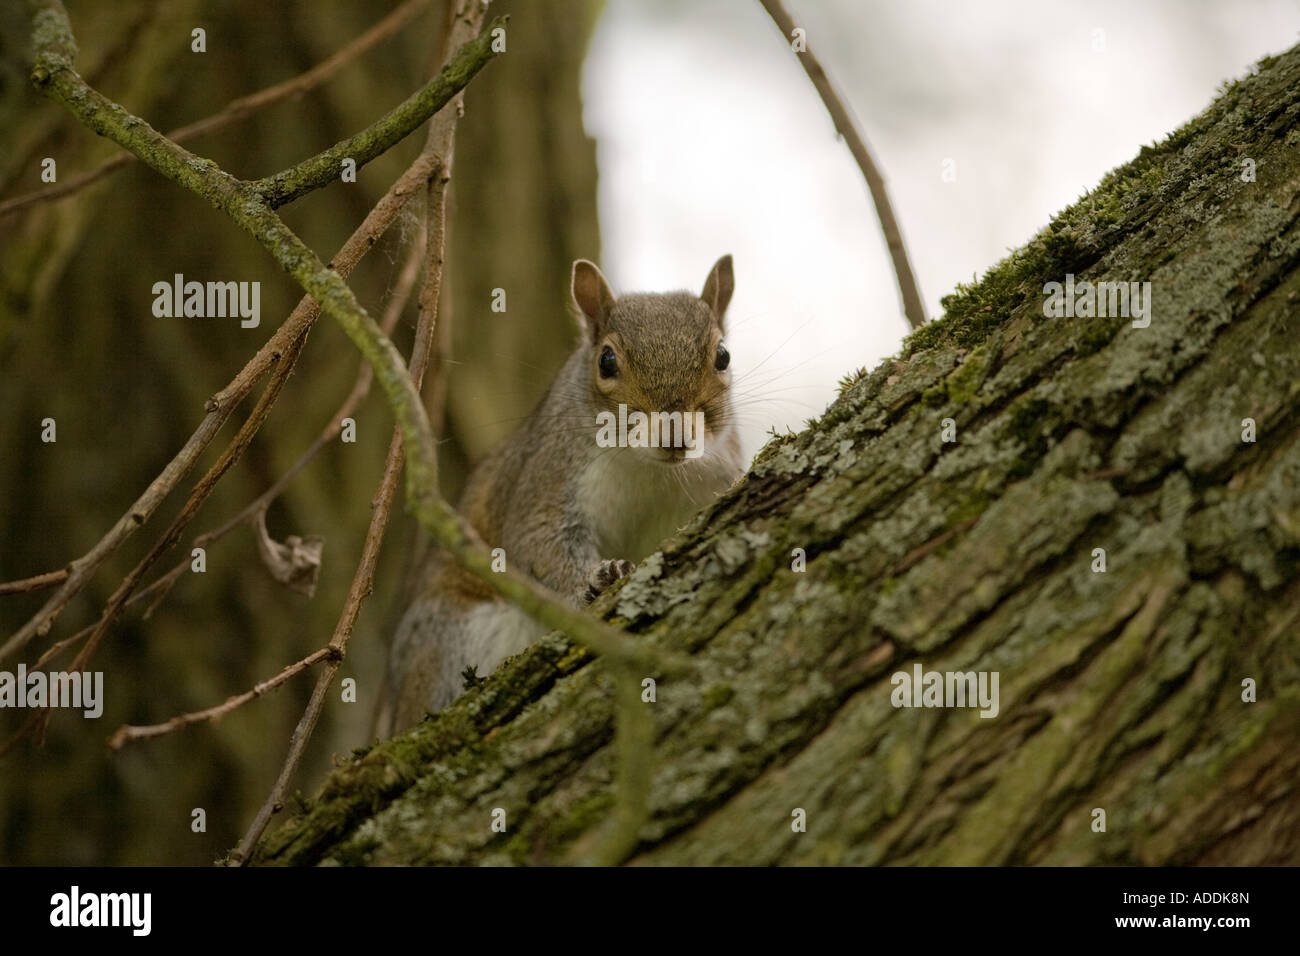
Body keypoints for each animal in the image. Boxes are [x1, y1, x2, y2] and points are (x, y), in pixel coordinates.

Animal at [380, 255, 744, 734]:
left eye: (723, 356)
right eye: (606, 360)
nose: (675, 435)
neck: (651, 470)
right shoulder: (550, 473)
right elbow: (538, 538)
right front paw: (596, 578)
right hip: (445, 642)